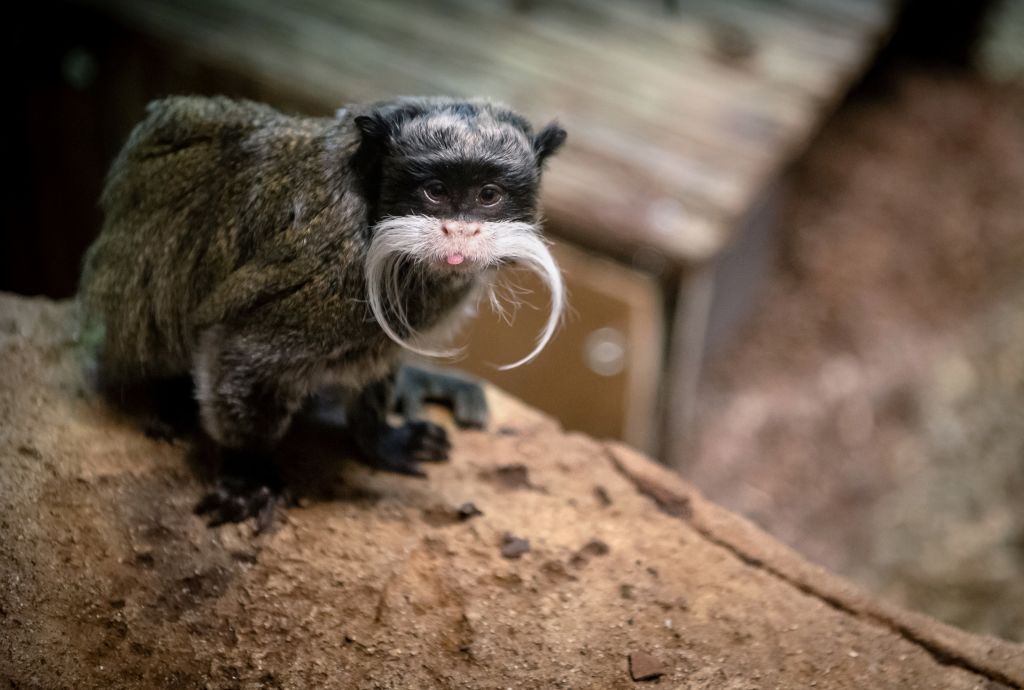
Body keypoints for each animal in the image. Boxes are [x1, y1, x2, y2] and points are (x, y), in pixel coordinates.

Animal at [77, 95, 567, 528]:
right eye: (435, 192)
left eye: (488, 195)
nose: (459, 232)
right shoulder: (330, 272)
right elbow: (240, 354)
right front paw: (248, 476)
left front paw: (379, 439)